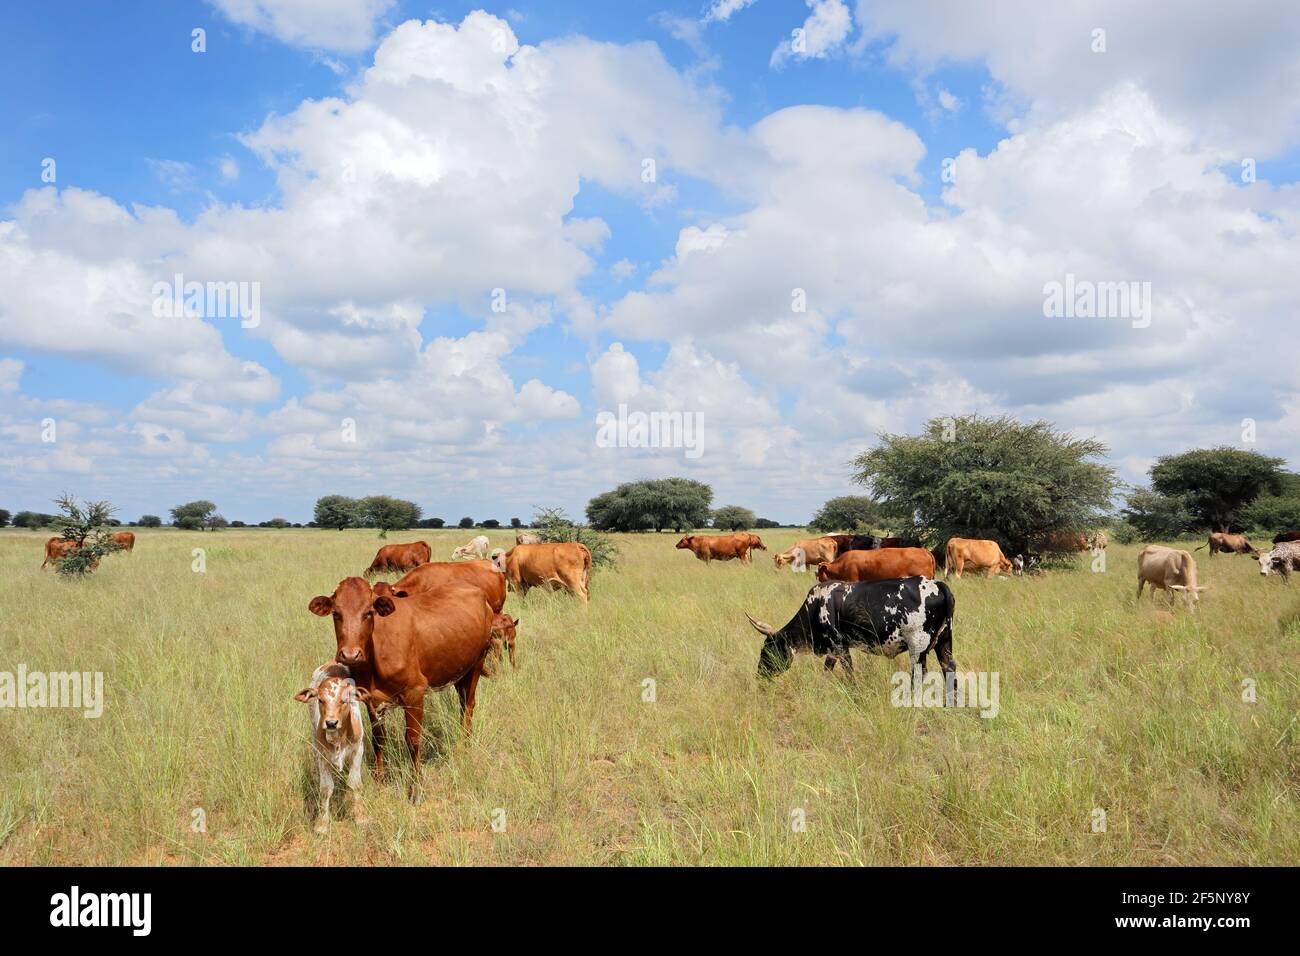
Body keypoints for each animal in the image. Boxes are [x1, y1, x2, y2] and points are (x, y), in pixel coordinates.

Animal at [294, 662, 370, 833]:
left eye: (344, 700)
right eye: (320, 700)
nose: (331, 723)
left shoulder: (357, 750)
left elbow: (356, 784)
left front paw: (361, 816)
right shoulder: (322, 755)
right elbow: (325, 789)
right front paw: (322, 824)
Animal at [308, 578, 496, 801]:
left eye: (368, 612)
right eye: (336, 613)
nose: (350, 654)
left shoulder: (415, 693)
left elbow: (413, 741)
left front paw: (416, 789)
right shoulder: (371, 700)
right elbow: (378, 740)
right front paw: (380, 783)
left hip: (477, 664)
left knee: (467, 706)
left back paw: (463, 747)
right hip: (459, 670)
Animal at [744, 577, 956, 701]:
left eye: (768, 650)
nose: (759, 675)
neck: (815, 606)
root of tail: (937, 584)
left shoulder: (840, 646)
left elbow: (848, 672)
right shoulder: (833, 650)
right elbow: (827, 671)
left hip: (917, 647)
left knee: (919, 675)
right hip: (944, 643)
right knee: (949, 669)